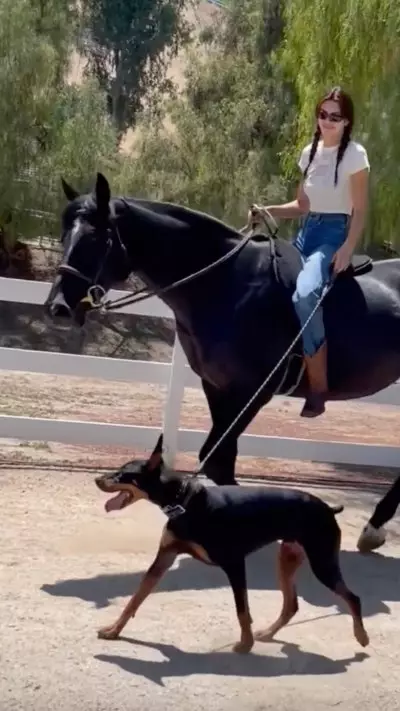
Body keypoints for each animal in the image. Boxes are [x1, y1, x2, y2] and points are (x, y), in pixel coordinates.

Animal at [45, 175, 400, 552]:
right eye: (64, 235)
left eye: (98, 238)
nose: (58, 307)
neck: (225, 283)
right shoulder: (216, 386)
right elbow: (219, 461)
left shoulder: (252, 392)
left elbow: (216, 459)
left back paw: (374, 526)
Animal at [94, 436, 368, 652]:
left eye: (121, 474)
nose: (97, 480)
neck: (185, 502)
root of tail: (328, 508)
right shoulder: (164, 557)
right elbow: (136, 597)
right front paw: (113, 630)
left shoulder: (234, 564)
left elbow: (242, 609)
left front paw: (245, 645)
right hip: (287, 559)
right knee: (291, 605)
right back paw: (268, 633)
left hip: (322, 561)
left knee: (353, 597)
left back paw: (361, 636)